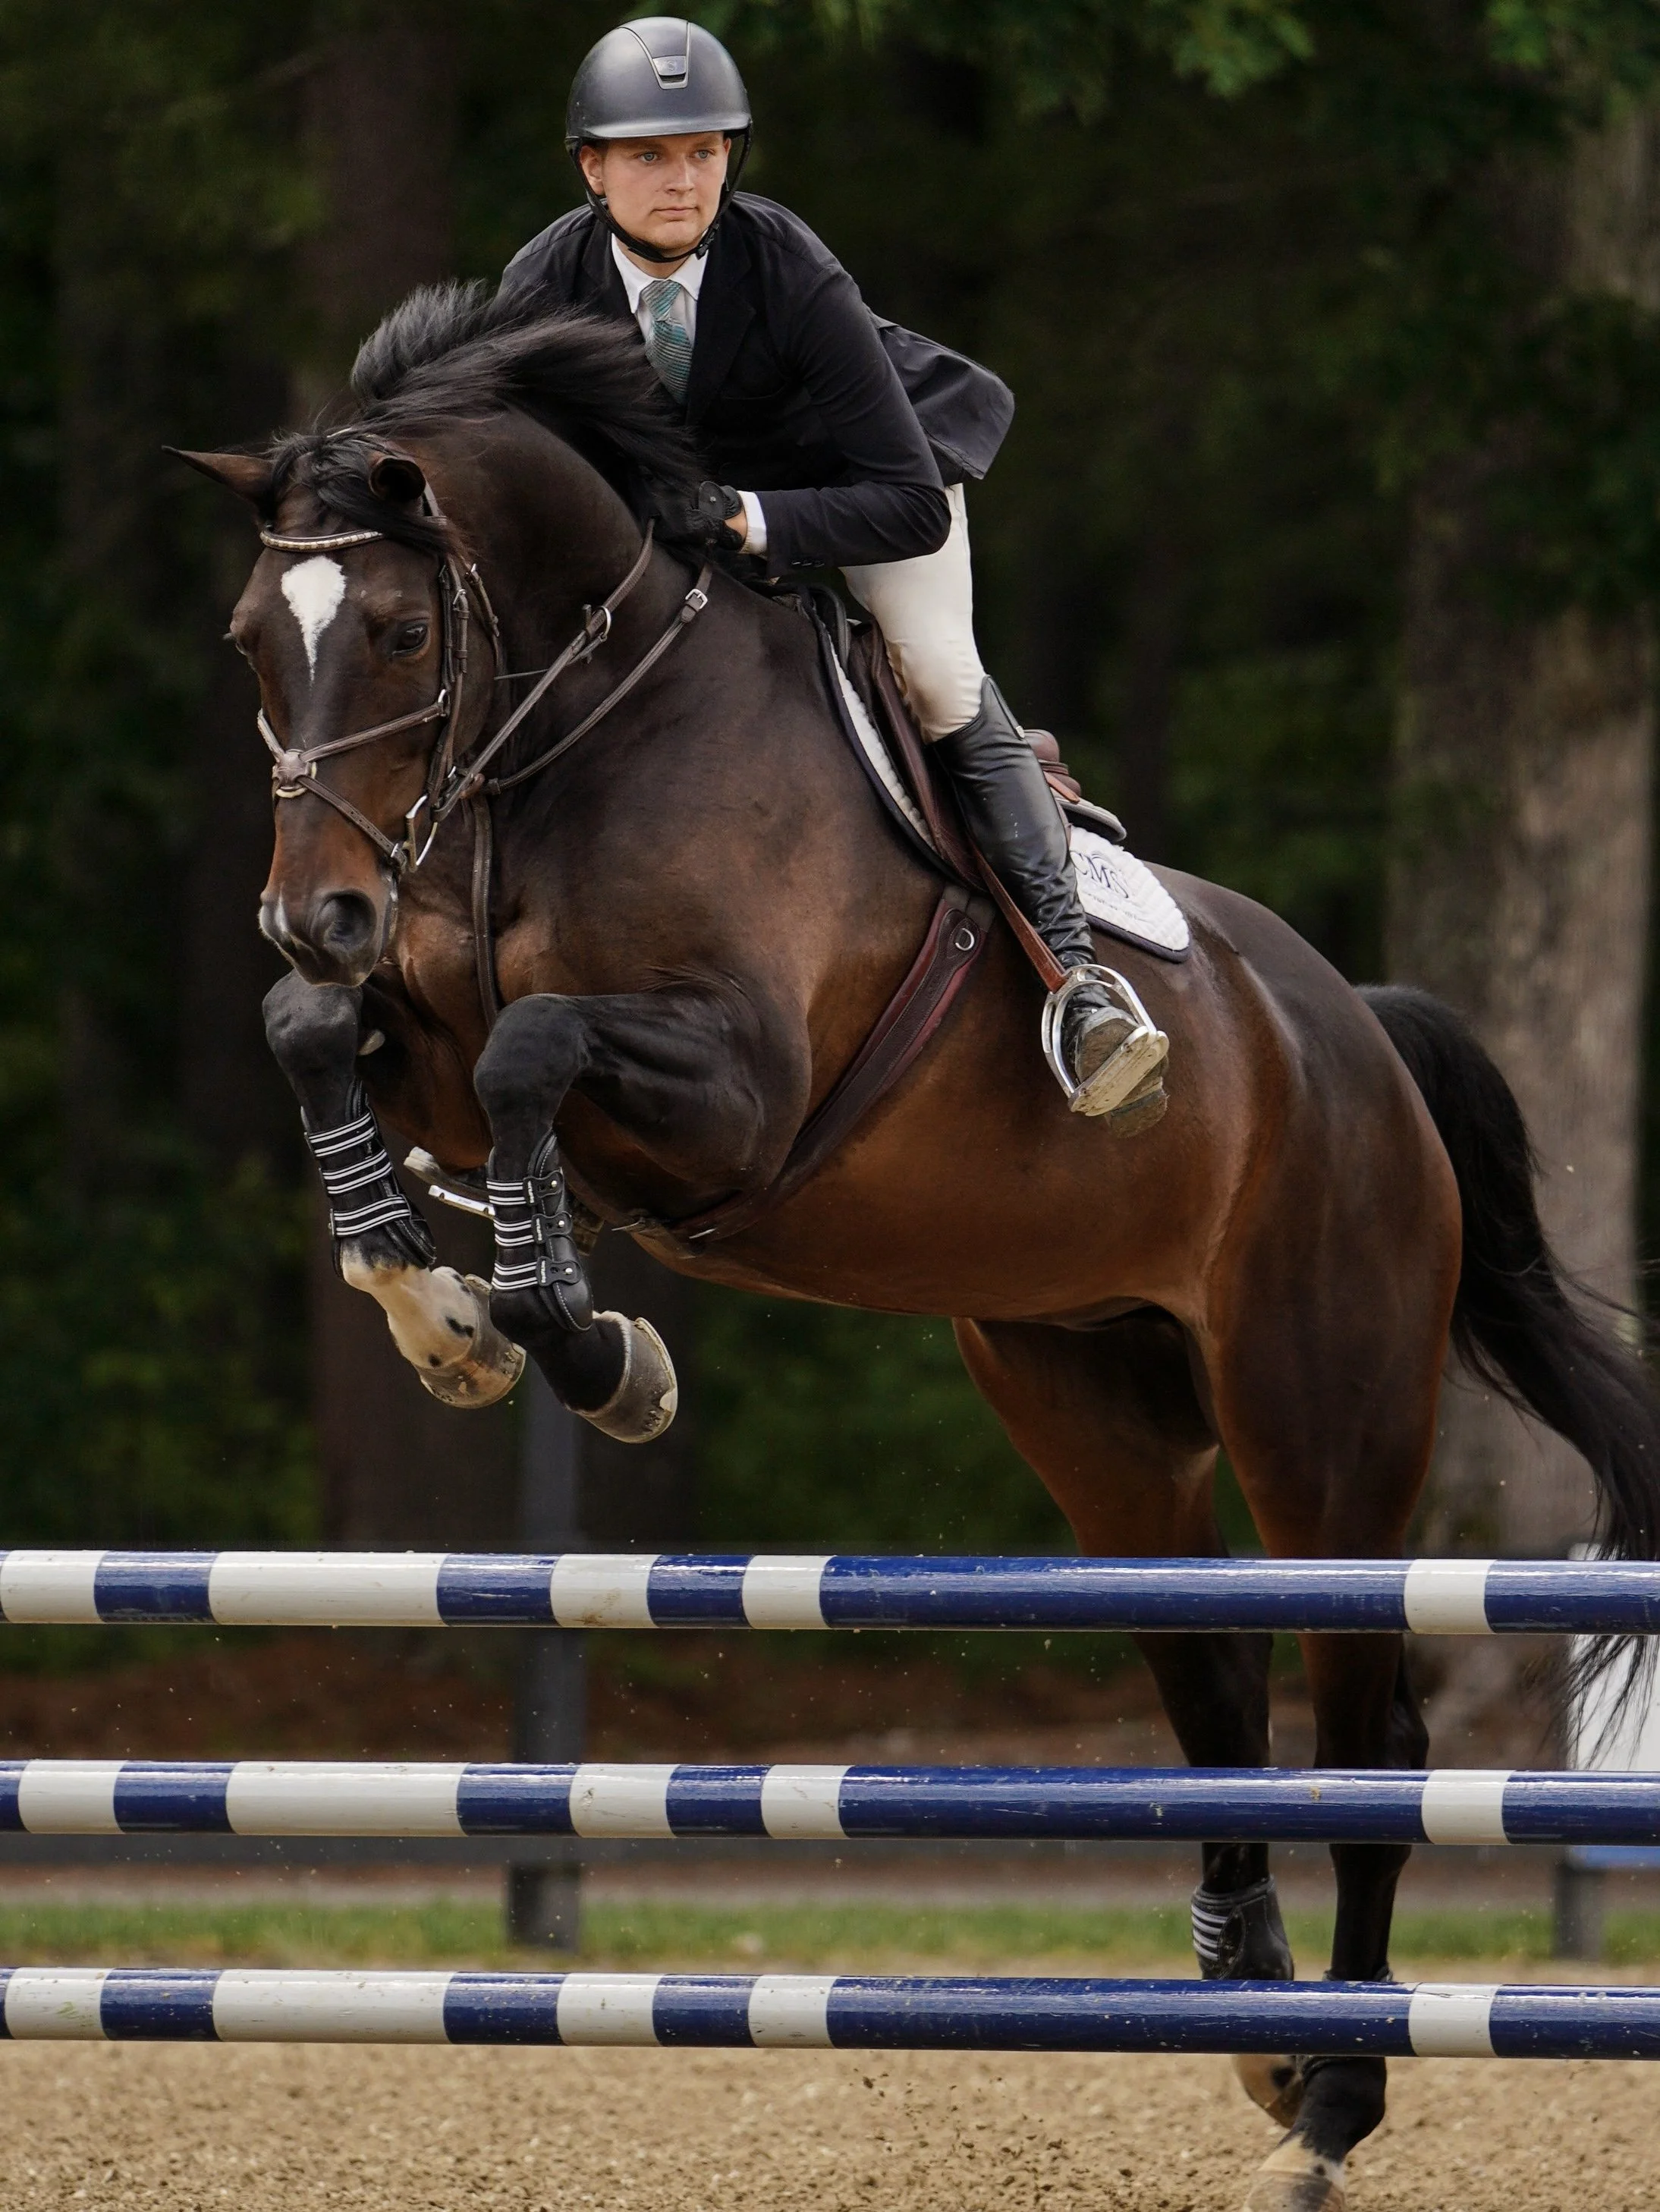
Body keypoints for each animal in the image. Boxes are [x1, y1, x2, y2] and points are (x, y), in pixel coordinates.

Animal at [178, 281, 1660, 2212]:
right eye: (247, 642)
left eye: (410, 627)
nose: (316, 907)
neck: (575, 738)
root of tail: (1355, 1034)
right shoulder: (417, 1020)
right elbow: (323, 1040)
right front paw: (442, 1311)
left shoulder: (735, 1090)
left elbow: (531, 1055)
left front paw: (586, 1342)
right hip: (1096, 1410)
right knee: (1211, 1693)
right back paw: (1253, 2022)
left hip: (1318, 1418)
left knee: (1370, 1740)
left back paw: (1332, 2098)